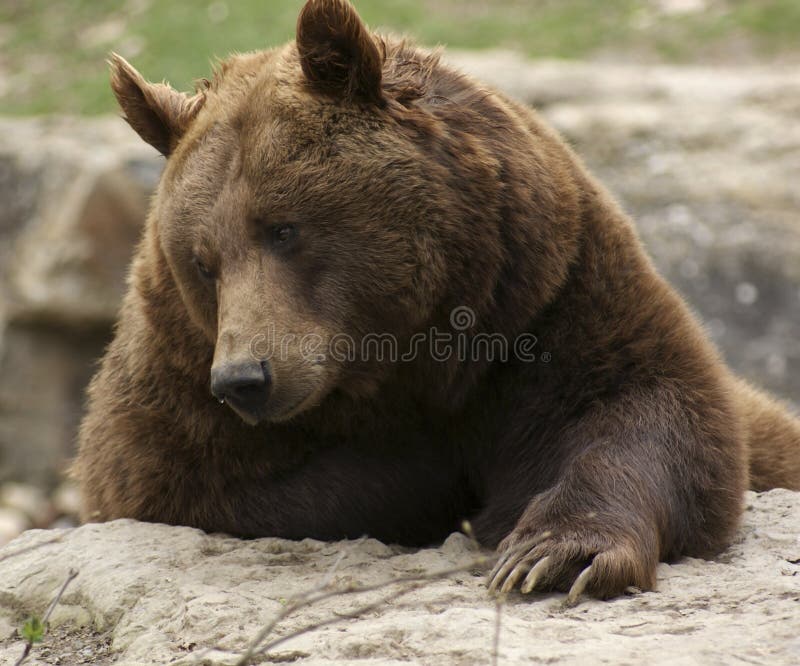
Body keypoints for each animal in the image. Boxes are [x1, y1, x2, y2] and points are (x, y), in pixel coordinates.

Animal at [73, 0, 800, 602]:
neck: (407, 349)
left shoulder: (548, 293)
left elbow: (651, 409)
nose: (245, 379)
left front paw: (553, 554)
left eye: (283, 229)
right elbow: (192, 487)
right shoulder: (176, 384)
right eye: (202, 262)